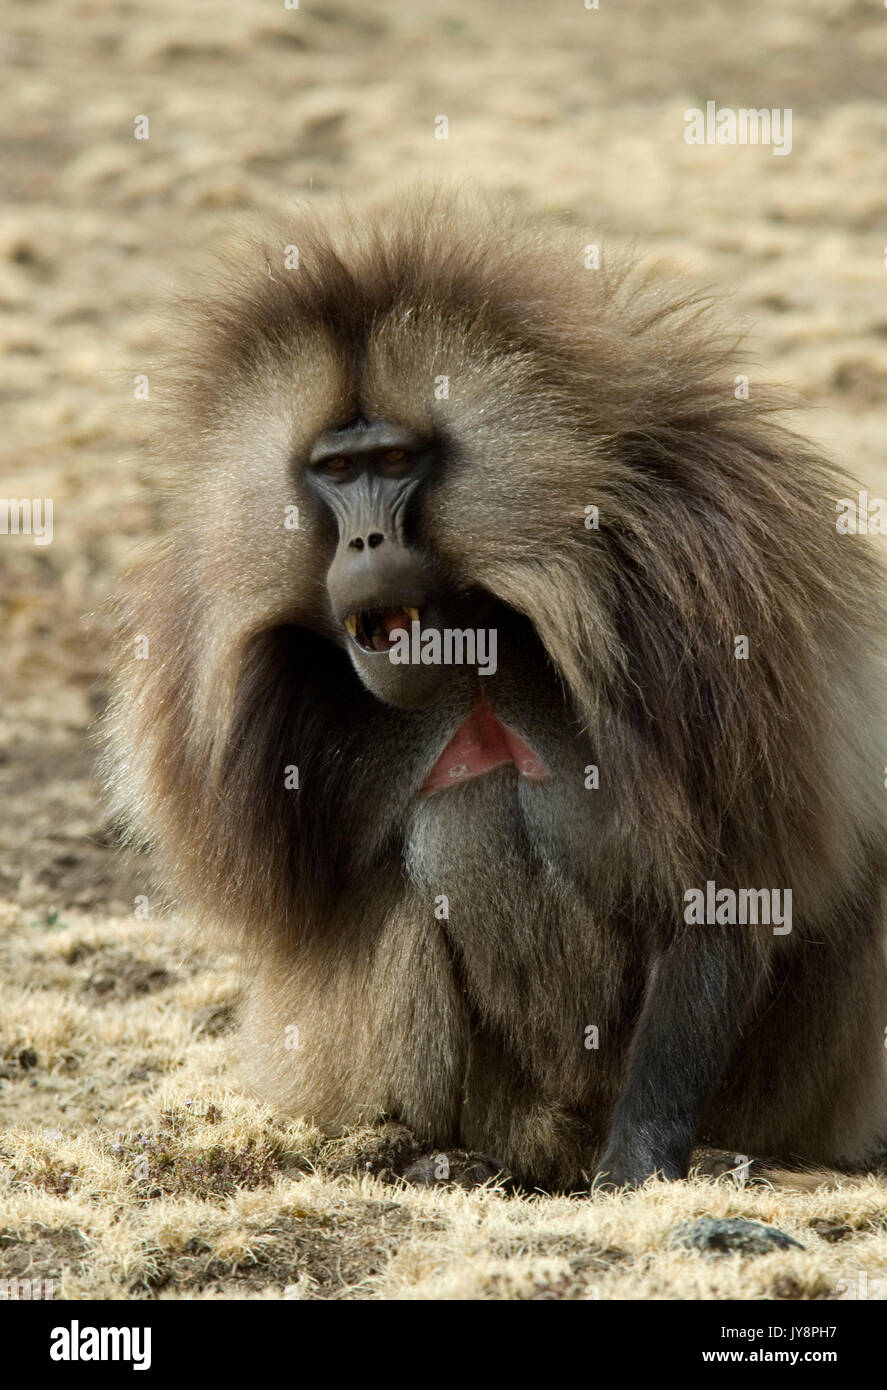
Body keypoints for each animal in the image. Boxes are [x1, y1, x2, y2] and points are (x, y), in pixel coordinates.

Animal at [104, 192, 887, 1191]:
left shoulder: (708, 599)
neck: (491, 618)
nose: (364, 545)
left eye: (396, 462)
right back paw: (425, 1148)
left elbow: (728, 890)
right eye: (335, 470)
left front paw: (638, 1164)